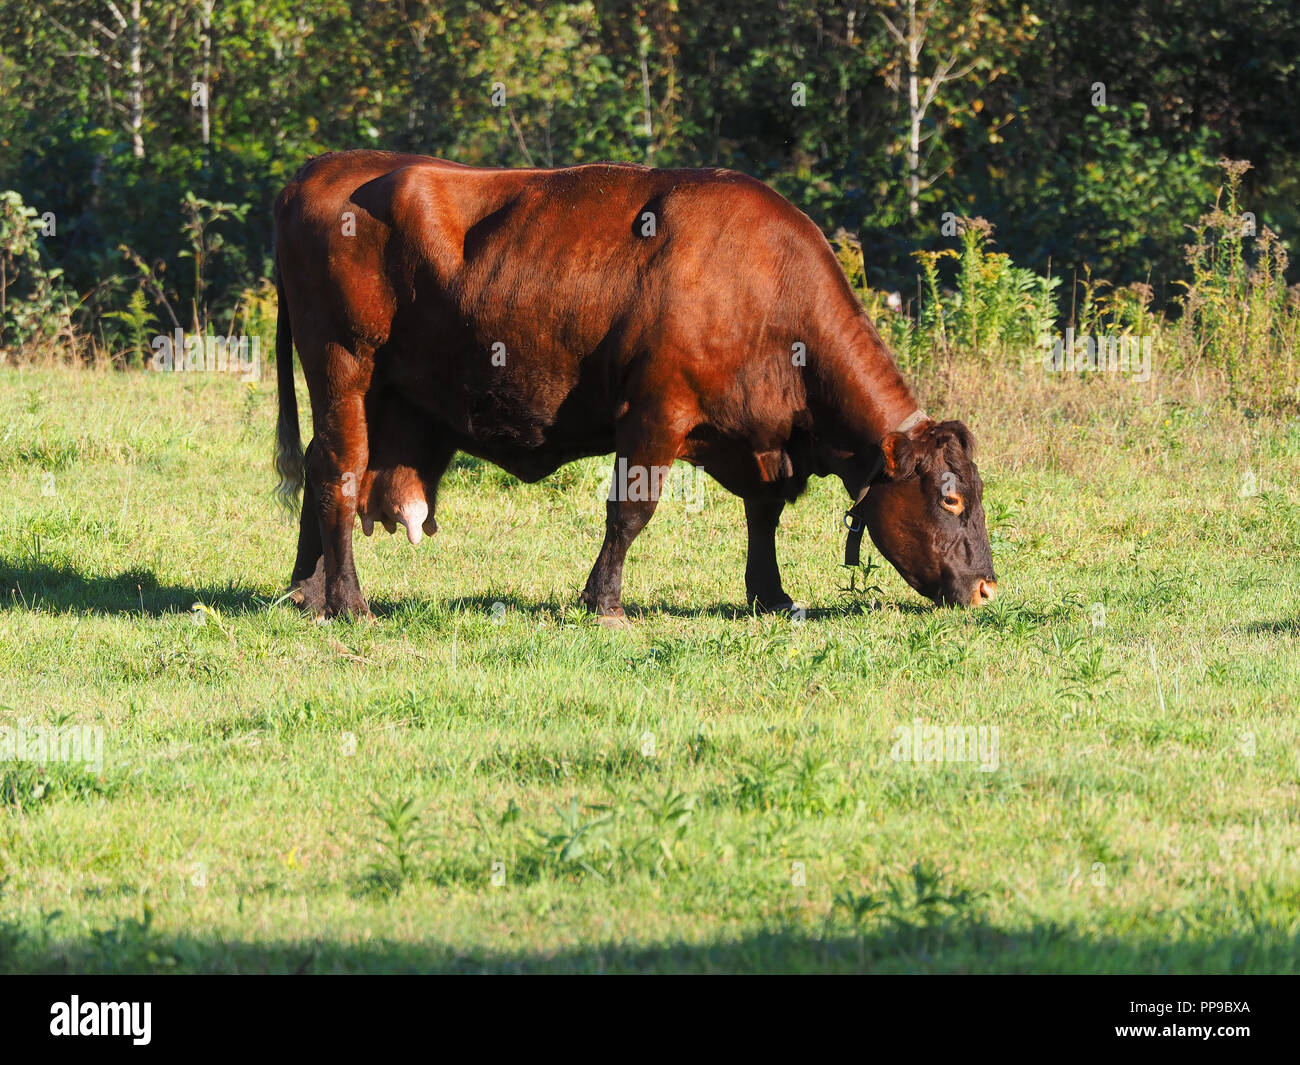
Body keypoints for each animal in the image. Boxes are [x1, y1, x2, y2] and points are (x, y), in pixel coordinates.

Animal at [272, 150, 996, 622]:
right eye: (951, 498)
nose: (989, 588)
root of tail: (322, 168)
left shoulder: (759, 437)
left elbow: (762, 514)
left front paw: (771, 595)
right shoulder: (656, 413)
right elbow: (630, 511)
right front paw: (604, 603)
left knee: (316, 466)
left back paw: (306, 590)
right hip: (343, 365)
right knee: (338, 470)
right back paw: (348, 602)